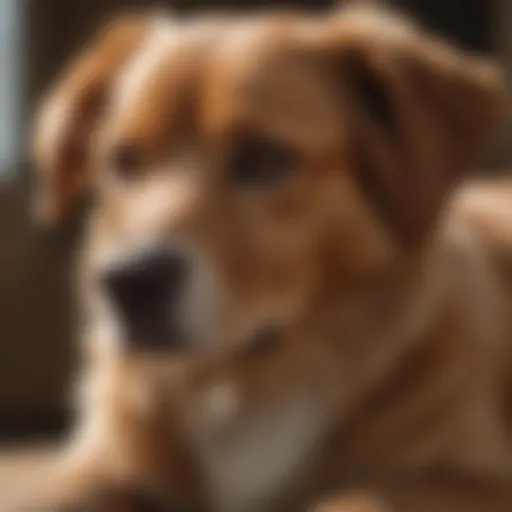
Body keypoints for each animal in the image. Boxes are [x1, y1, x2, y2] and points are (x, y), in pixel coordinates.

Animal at [26, 2, 512, 510]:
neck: (249, 382)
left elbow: (354, 496)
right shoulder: (102, 465)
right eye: (122, 160)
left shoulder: (476, 480)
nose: (129, 282)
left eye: (262, 157)